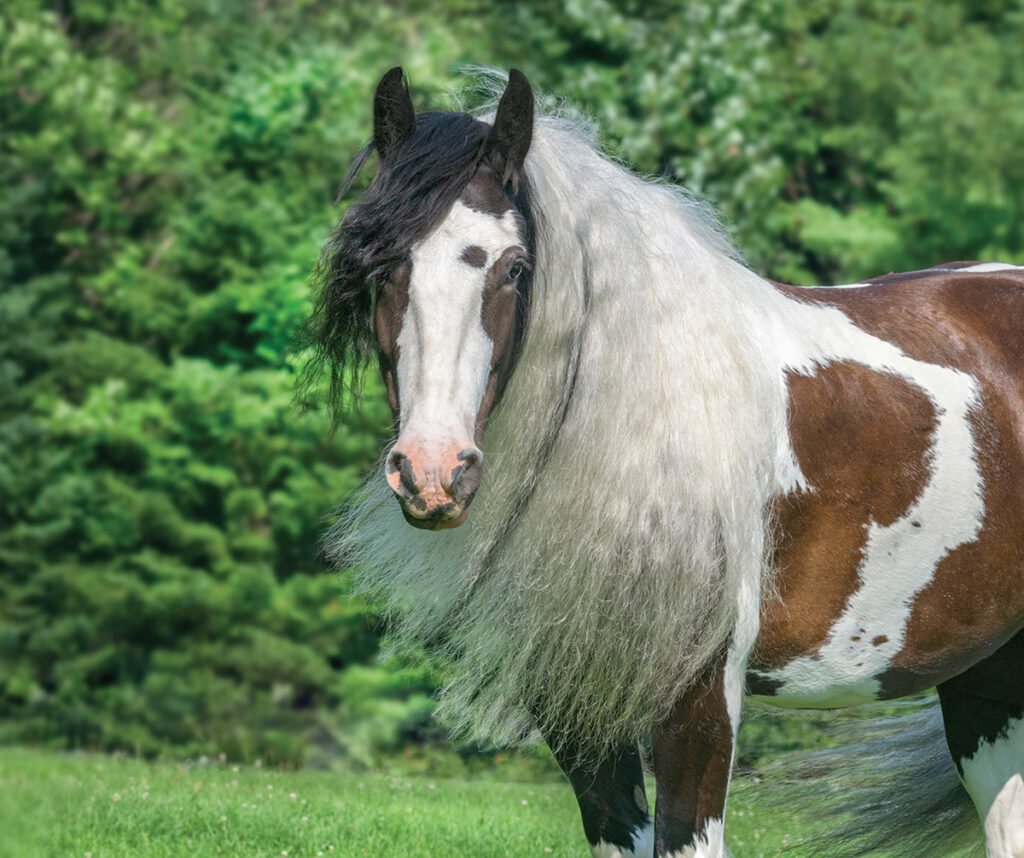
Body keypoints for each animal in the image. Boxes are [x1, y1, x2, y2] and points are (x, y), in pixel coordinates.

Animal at [309, 68, 1024, 858]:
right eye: (380, 265)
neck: (650, 443)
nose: (432, 473)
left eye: (515, 267)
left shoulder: (698, 697)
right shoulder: (576, 700)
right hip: (988, 680)